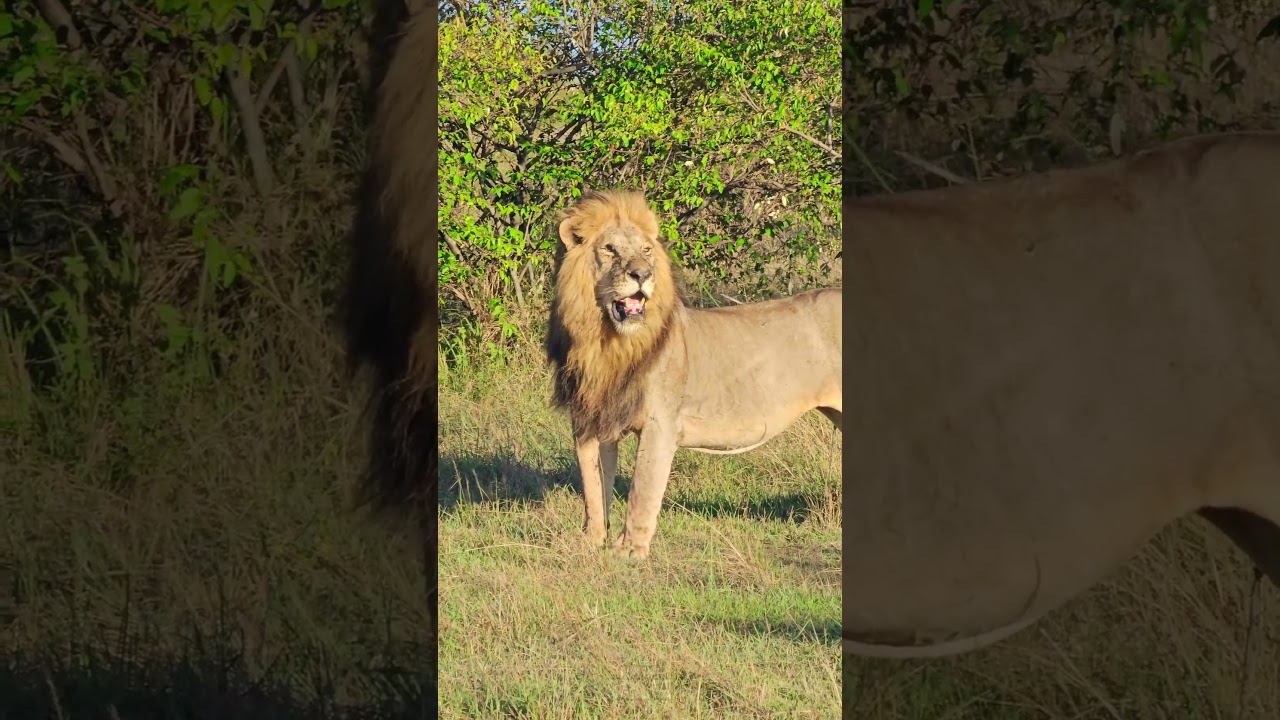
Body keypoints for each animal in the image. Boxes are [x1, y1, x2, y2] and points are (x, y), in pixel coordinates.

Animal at [545, 190, 842, 559]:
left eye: (646, 250)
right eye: (610, 249)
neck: (607, 343)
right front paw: (591, 542)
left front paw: (630, 551)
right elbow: (593, 487)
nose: (642, 274)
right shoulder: (590, 420)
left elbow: (641, 490)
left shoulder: (660, 424)